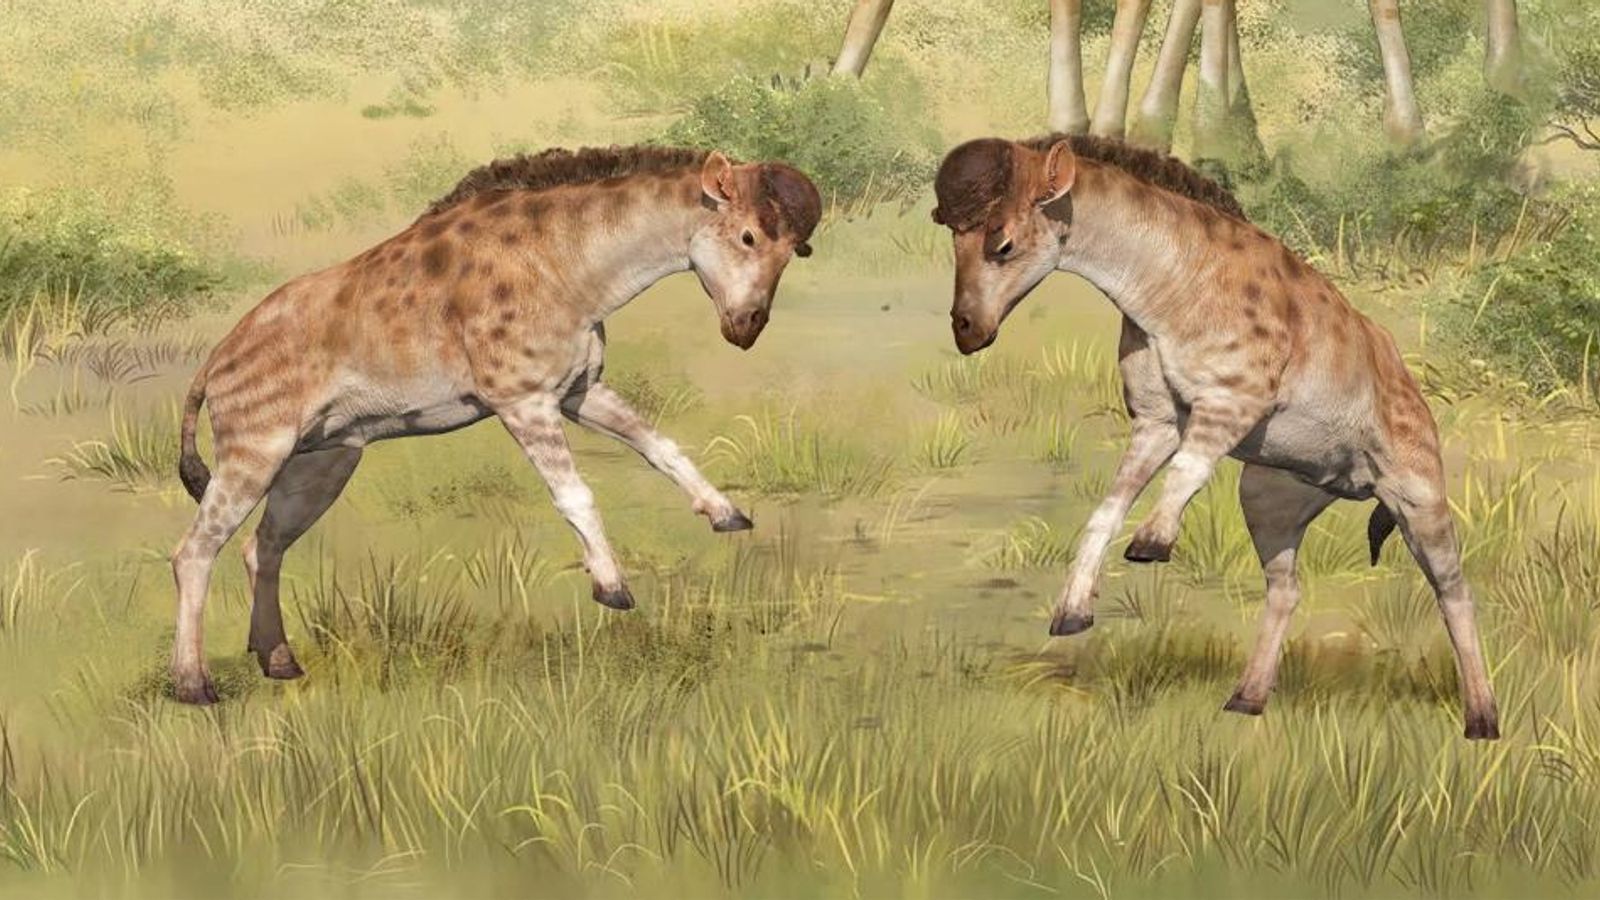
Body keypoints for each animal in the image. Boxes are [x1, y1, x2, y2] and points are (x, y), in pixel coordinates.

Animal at [171, 146, 822, 704]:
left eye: (794, 250)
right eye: (748, 235)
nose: (746, 327)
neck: (567, 264)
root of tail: (213, 364)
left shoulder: (578, 392)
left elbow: (660, 446)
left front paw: (727, 515)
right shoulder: (523, 401)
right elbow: (575, 494)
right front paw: (612, 588)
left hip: (322, 463)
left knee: (262, 547)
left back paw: (280, 661)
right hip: (255, 451)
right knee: (194, 551)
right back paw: (194, 685)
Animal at [931, 134, 1500, 739]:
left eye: (1002, 243)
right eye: (951, 237)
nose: (965, 329)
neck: (1169, 285)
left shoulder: (1232, 401)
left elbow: (1188, 469)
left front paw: (1151, 543)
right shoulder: (1157, 421)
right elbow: (1107, 510)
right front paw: (1072, 611)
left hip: (1418, 497)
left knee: (1453, 590)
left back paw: (1482, 719)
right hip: (1268, 501)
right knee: (1286, 588)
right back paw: (1247, 698)